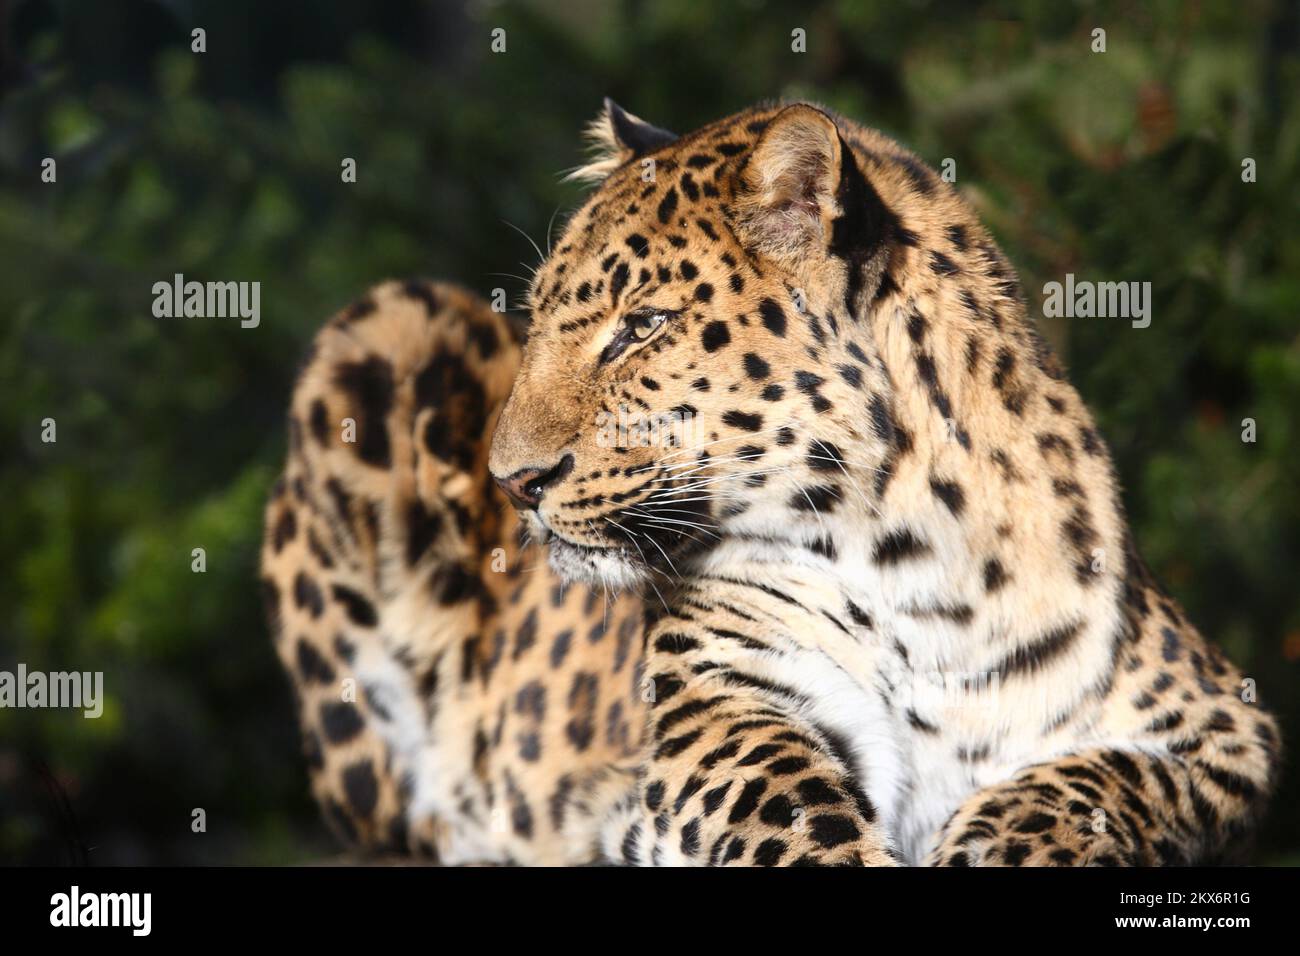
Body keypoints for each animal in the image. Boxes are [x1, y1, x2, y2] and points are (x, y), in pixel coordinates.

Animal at [483, 99, 1281, 866]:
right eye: (535, 319)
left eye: (643, 325)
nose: (513, 482)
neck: (922, 567)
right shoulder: (715, 695)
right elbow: (779, 795)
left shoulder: (1227, 721)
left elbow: (1095, 776)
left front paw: (989, 842)